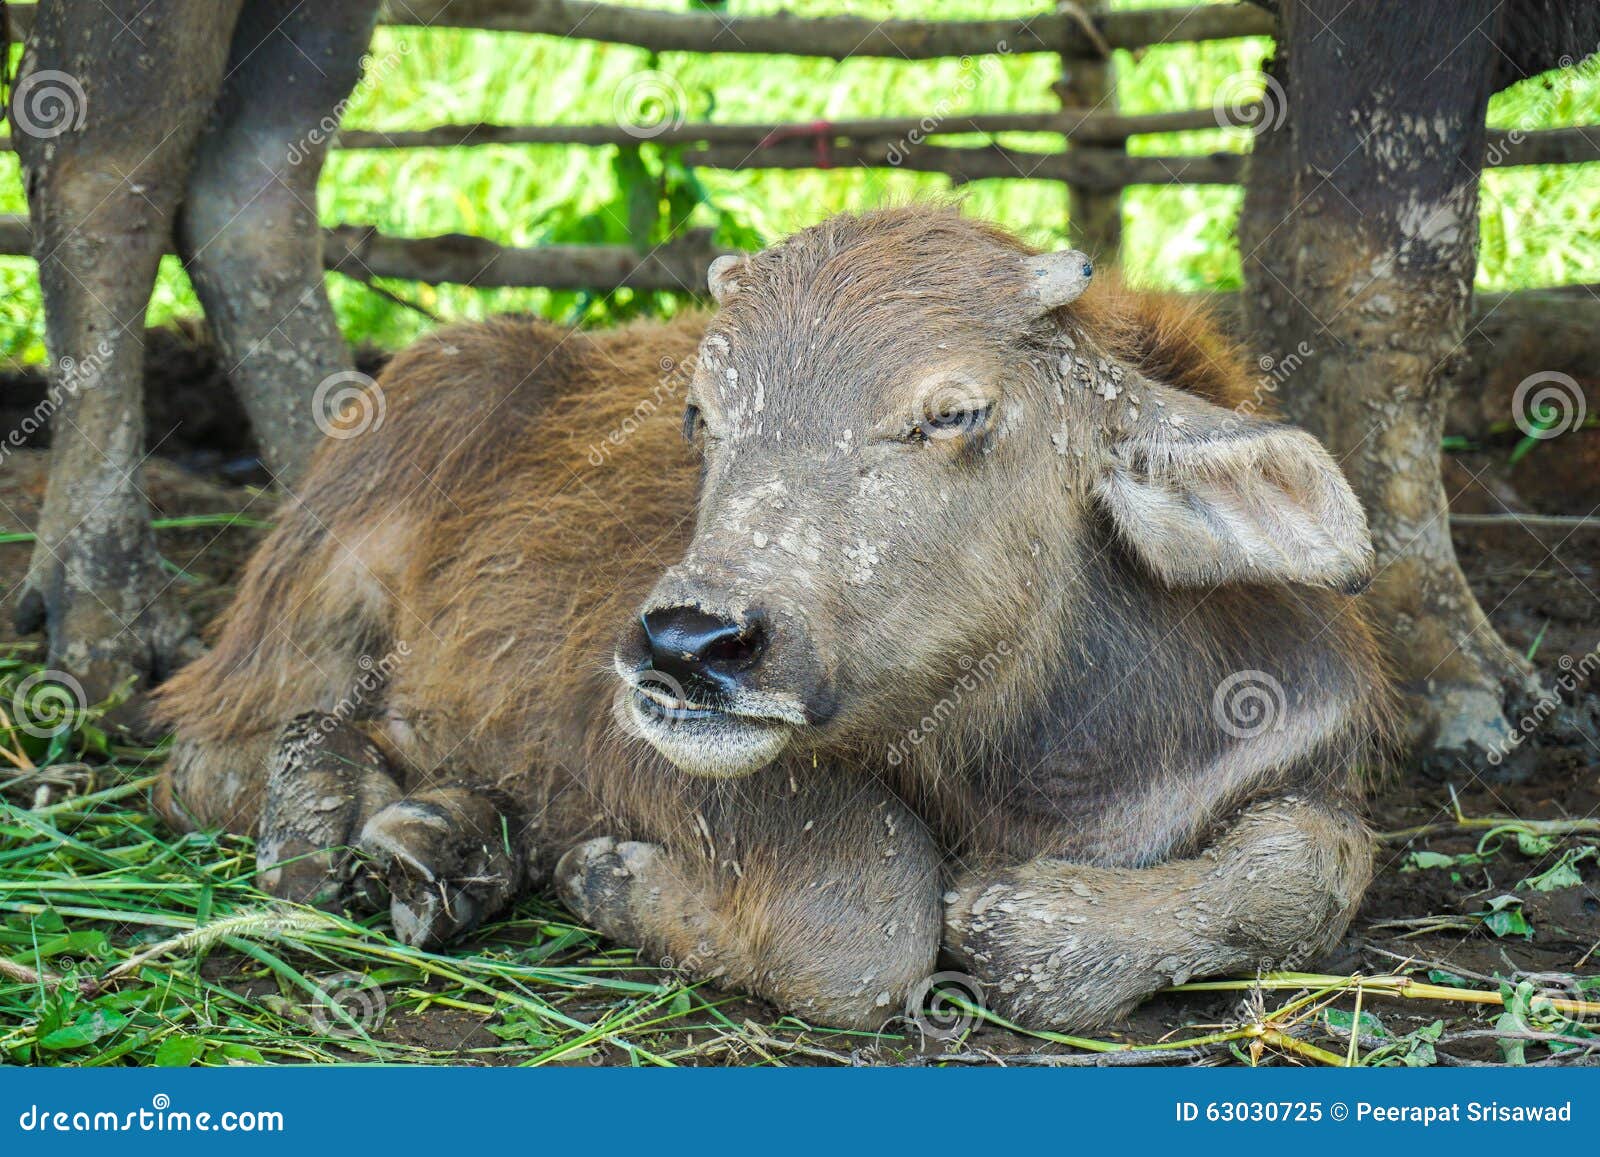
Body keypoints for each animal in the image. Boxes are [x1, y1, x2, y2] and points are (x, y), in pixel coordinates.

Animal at [154, 207, 1390, 1031]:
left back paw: (442, 848)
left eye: (955, 413)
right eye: (702, 413)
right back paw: (329, 813)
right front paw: (603, 876)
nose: (687, 645)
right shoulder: (638, 744)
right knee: (210, 752)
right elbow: (877, 914)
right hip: (326, 565)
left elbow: (1313, 861)